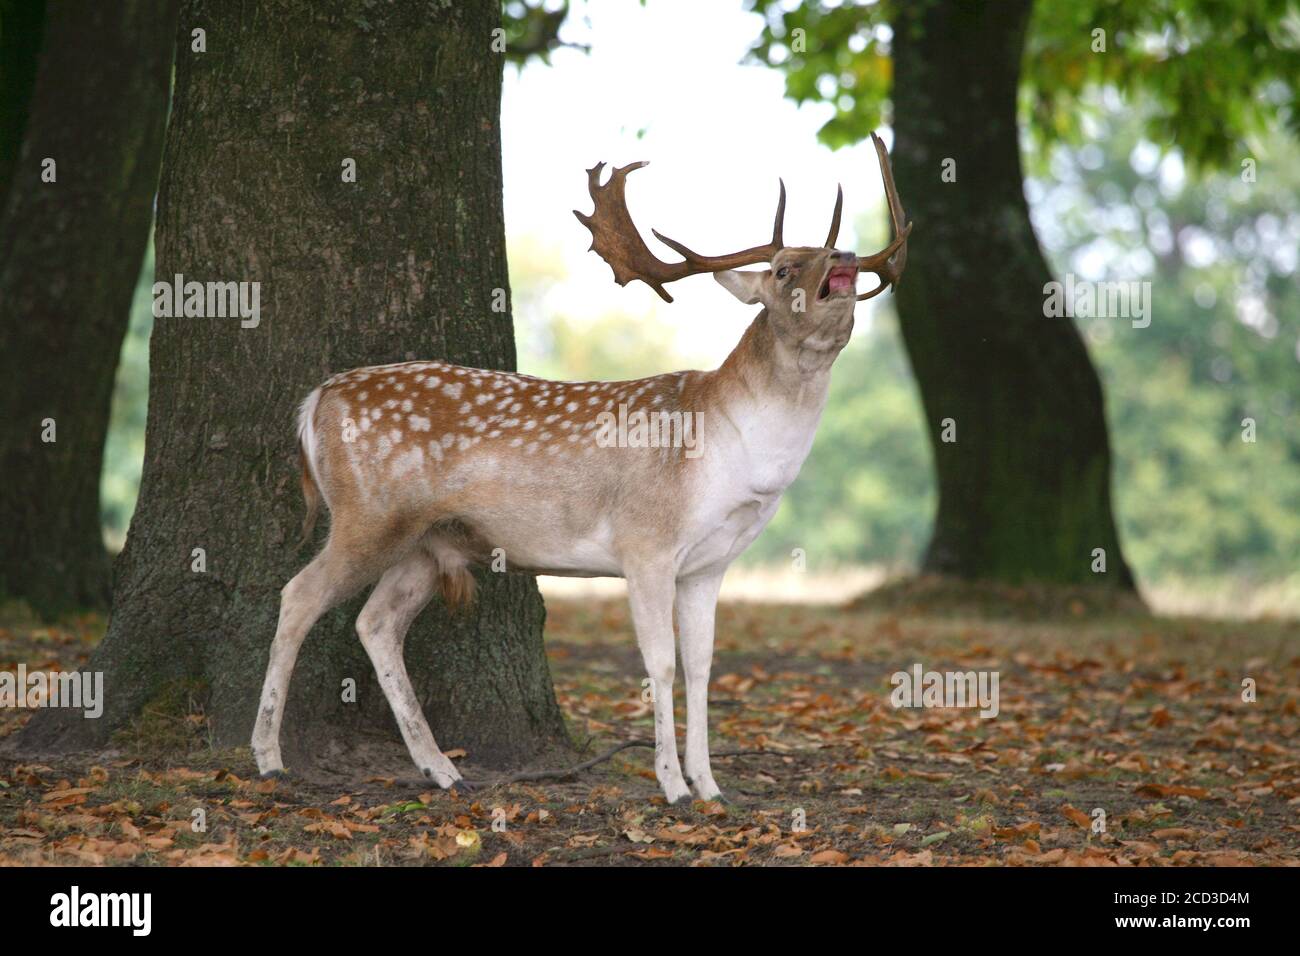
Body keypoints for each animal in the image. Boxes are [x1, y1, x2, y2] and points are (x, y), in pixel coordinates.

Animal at [251, 132, 909, 803]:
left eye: (826, 252)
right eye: (782, 269)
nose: (845, 254)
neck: (728, 446)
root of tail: (314, 401)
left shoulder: (709, 564)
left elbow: (702, 666)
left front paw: (710, 785)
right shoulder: (646, 543)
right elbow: (660, 663)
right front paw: (673, 785)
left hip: (430, 541)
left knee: (376, 622)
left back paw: (443, 769)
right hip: (369, 512)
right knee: (299, 595)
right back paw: (270, 758)